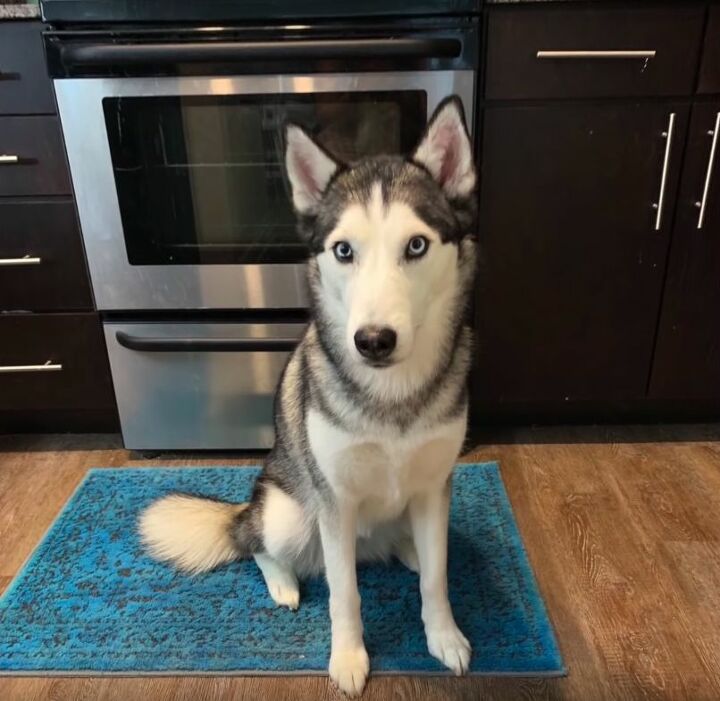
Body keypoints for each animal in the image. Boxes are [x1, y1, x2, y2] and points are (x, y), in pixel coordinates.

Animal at [141, 95, 478, 692]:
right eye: (343, 250)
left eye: (416, 245)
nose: (373, 341)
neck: (390, 397)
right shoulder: (335, 501)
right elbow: (345, 595)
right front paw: (348, 658)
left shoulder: (435, 487)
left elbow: (437, 580)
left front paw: (443, 637)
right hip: (289, 512)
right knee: (256, 544)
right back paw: (283, 582)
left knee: (405, 552)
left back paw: (408, 550)